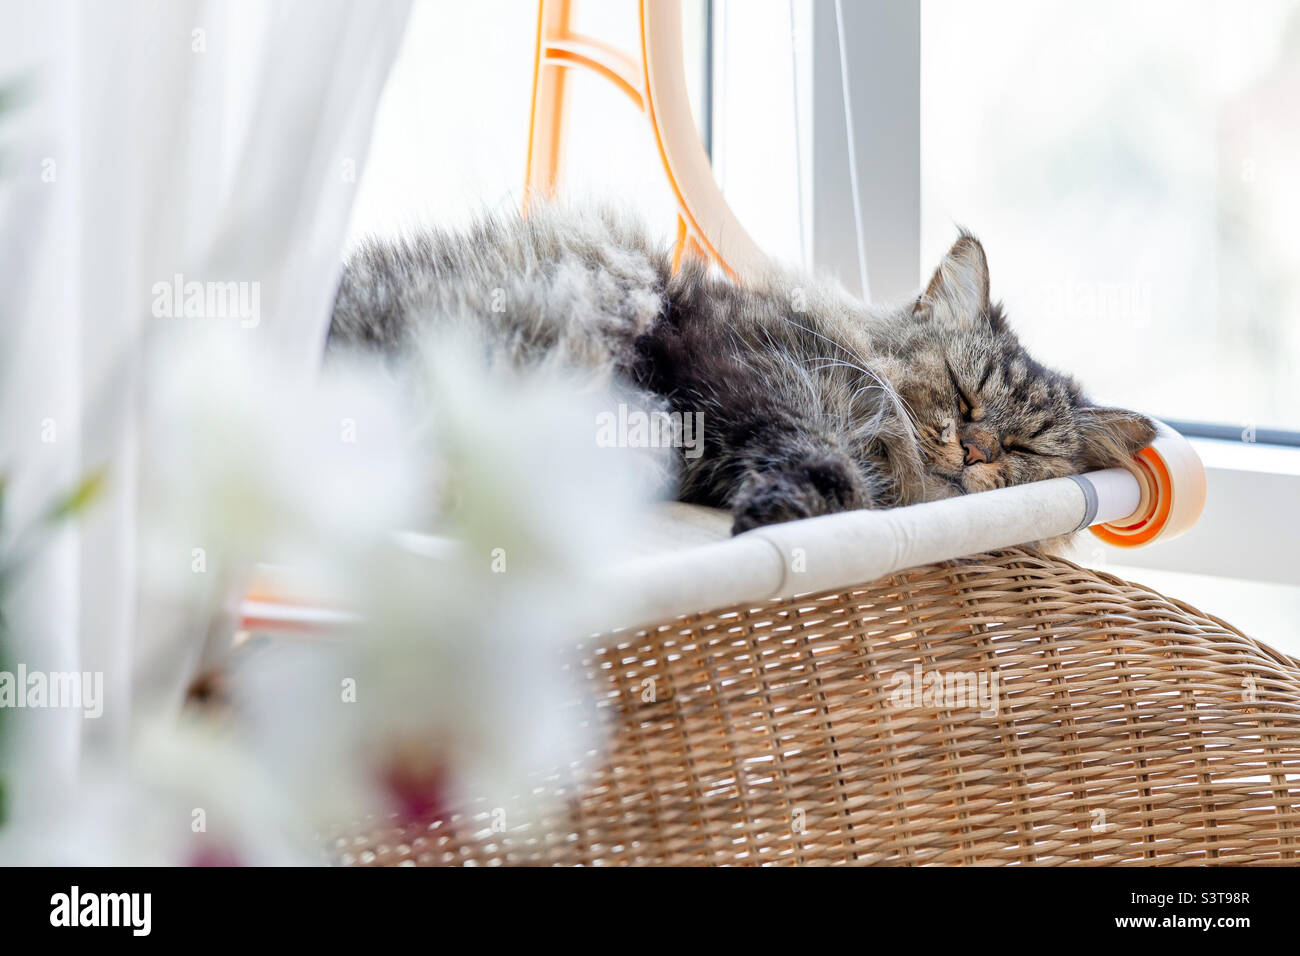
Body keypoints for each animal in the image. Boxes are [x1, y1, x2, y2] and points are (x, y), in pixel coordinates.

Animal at [330, 205, 1154, 535]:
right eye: (964, 397)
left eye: (1023, 450)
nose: (977, 451)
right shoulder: (750, 375)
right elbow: (829, 467)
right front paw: (773, 513)